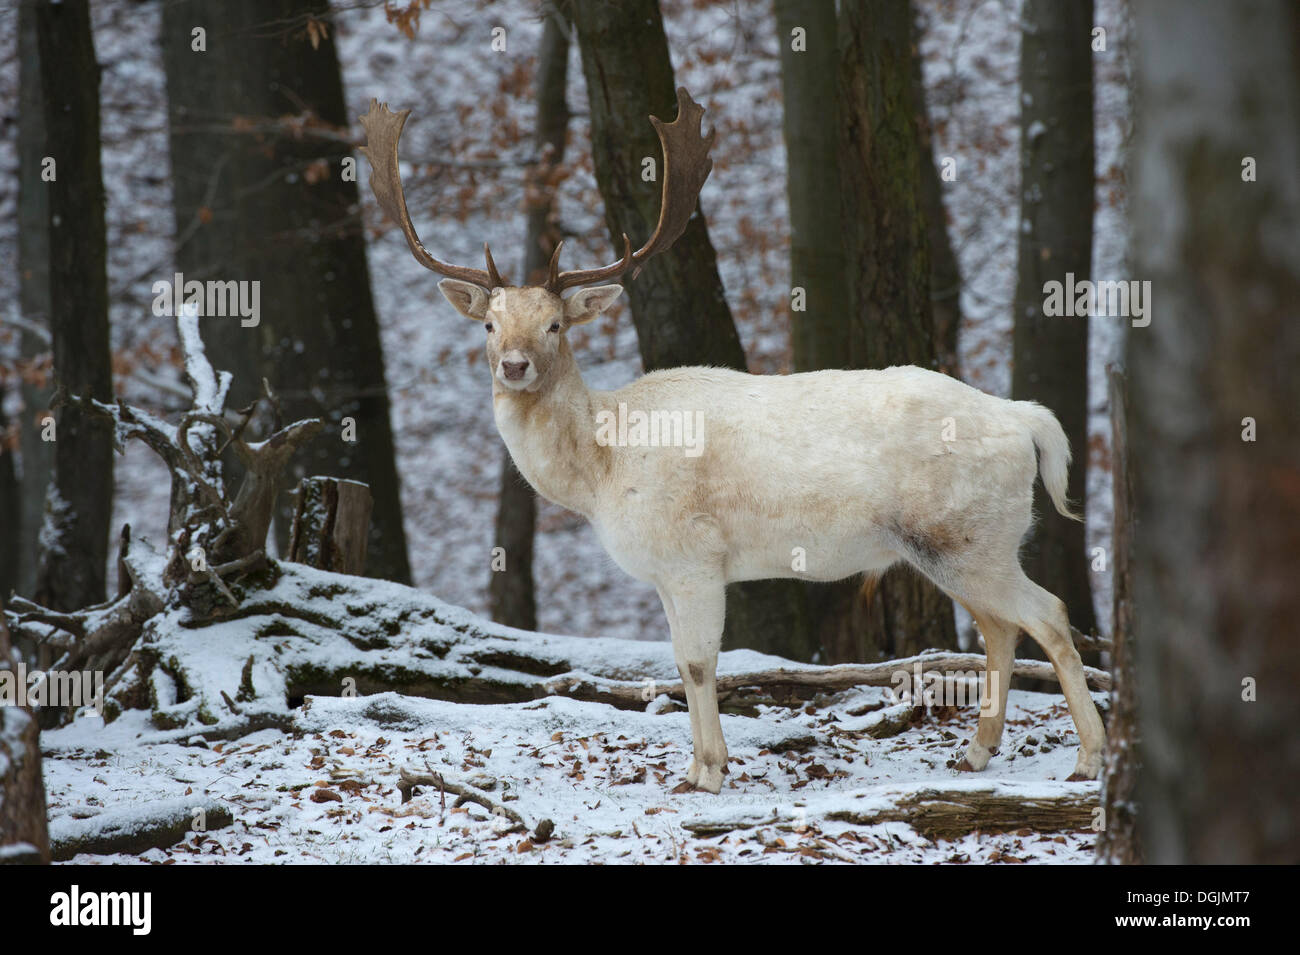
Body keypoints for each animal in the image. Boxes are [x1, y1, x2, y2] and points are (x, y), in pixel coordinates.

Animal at [359, 89, 1105, 794]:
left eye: (555, 325)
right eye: (489, 324)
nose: (514, 366)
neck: (602, 468)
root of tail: (1025, 420)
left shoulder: (694, 555)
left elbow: (697, 662)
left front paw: (710, 771)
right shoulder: (666, 571)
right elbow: (679, 663)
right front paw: (696, 766)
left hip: (968, 536)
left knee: (1049, 614)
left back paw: (1088, 759)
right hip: (964, 544)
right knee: (1001, 627)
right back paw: (976, 752)